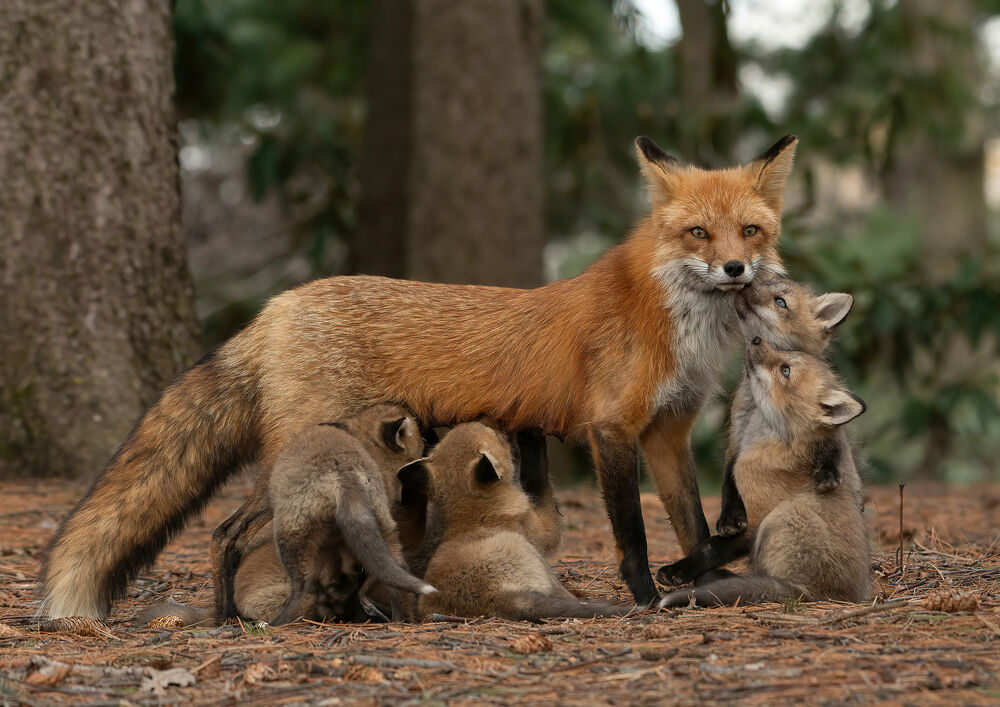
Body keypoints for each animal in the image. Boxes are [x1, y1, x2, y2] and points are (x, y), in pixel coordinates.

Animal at [398, 422, 632, 621]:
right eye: (492, 433)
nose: (500, 427)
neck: (473, 512)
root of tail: (497, 600)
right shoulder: (539, 530)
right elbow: (540, 485)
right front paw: (533, 439)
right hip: (537, 561)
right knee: (563, 595)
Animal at [658, 338, 871, 608]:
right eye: (786, 352)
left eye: (785, 370)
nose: (756, 339)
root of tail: (842, 596)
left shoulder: (758, 518)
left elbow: (710, 547)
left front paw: (677, 570)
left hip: (783, 516)